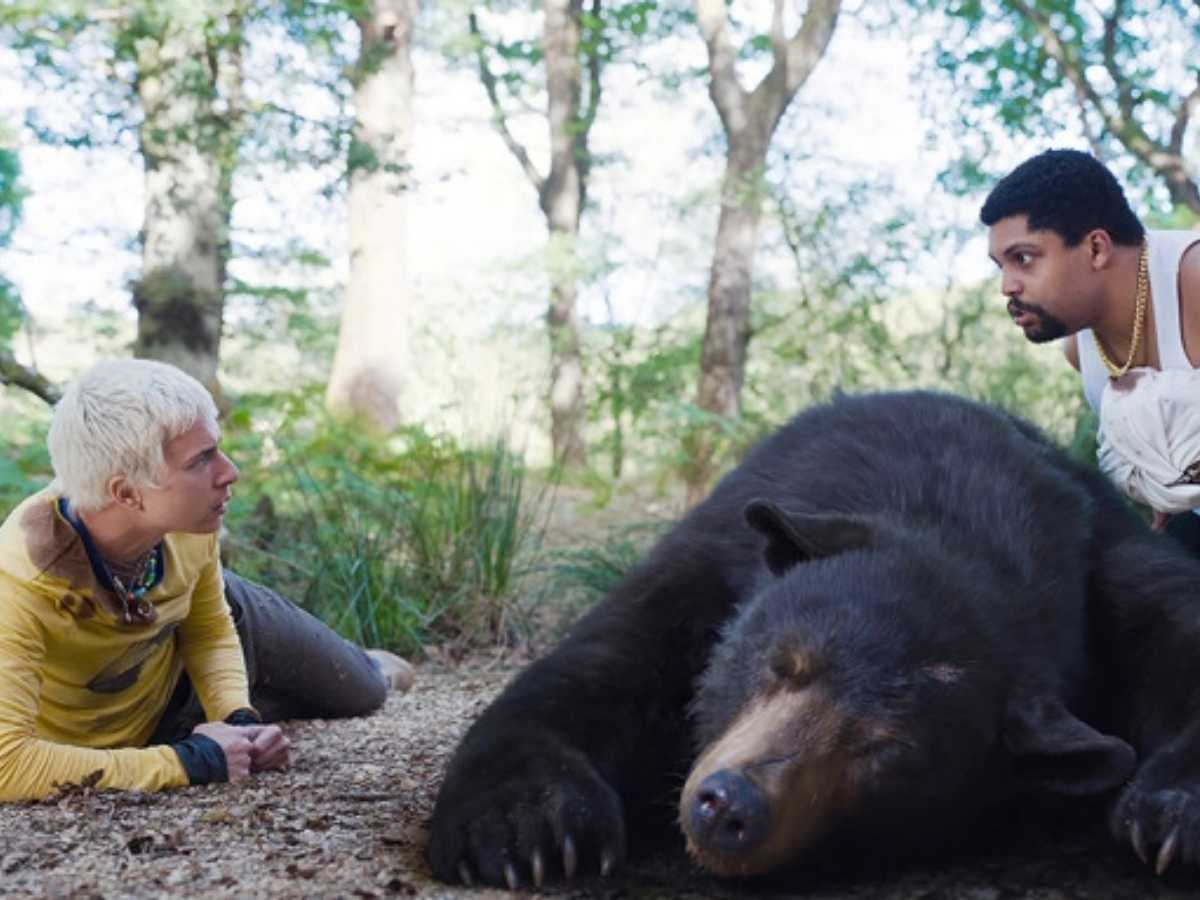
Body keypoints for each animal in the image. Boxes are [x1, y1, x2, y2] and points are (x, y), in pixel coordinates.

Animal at [428, 390, 1200, 889]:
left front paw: (1168, 814)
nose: (729, 807)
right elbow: (599, 668)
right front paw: (531, 827)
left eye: (885, 749)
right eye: (781, 664)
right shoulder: (714, 557)